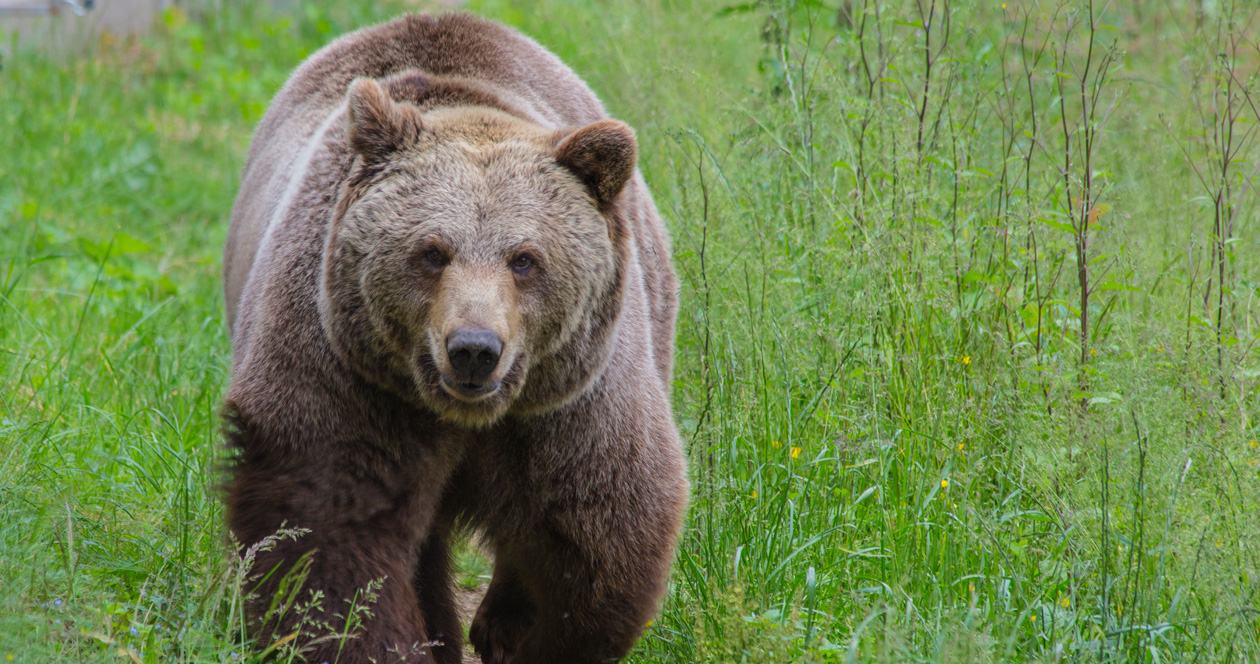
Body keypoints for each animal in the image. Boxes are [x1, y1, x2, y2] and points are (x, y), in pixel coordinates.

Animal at [221, 12, 688, 664]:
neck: (466, 417)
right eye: (432, 252)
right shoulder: (347, 373)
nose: (473, 349)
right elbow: (330, 528)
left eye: (525, 259)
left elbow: (596, 527)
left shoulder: (569, 400)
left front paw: (522, 632)